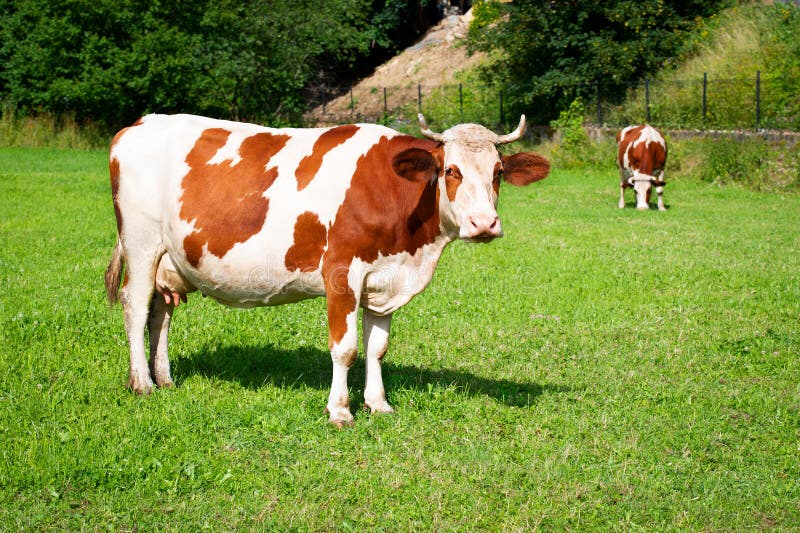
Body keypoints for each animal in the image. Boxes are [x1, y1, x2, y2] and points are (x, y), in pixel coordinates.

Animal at [105, 113, 550, 425]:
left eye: (499, 172)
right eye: (450, 170)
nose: (484, 224)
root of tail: (138, 124)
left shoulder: (383, 279)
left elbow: (377, 347)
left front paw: (378, 404)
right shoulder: (341, 273)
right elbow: (346, 347)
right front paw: (340, 410)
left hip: (169, 260)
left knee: (161, 314)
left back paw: (164, 378)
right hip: (141, 244)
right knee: (136, 306)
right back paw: (142, 382)